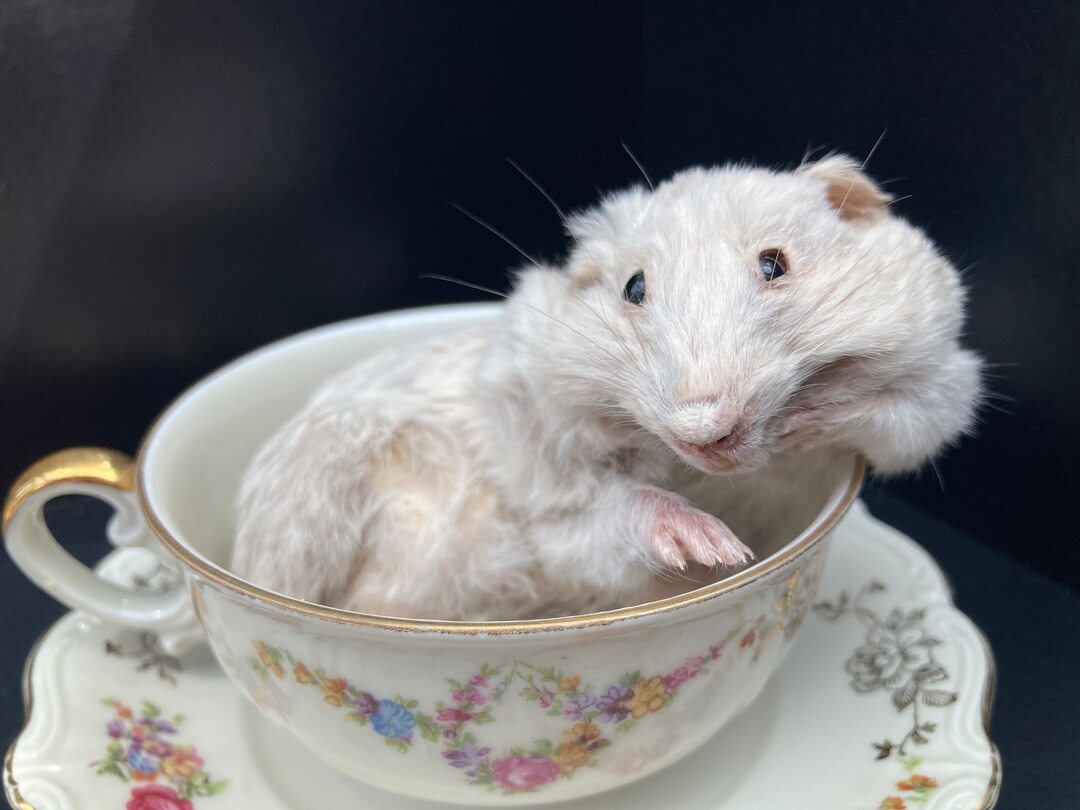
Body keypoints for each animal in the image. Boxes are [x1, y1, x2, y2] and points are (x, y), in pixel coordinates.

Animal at [231, 155, 982, 621]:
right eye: (634, 288)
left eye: (776, 264)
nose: (705, 428)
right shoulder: (551, 502)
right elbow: (613, 512)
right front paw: (713, 544)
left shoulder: (943, 375)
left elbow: (901, 414)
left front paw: (805, 423)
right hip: (314, 493)